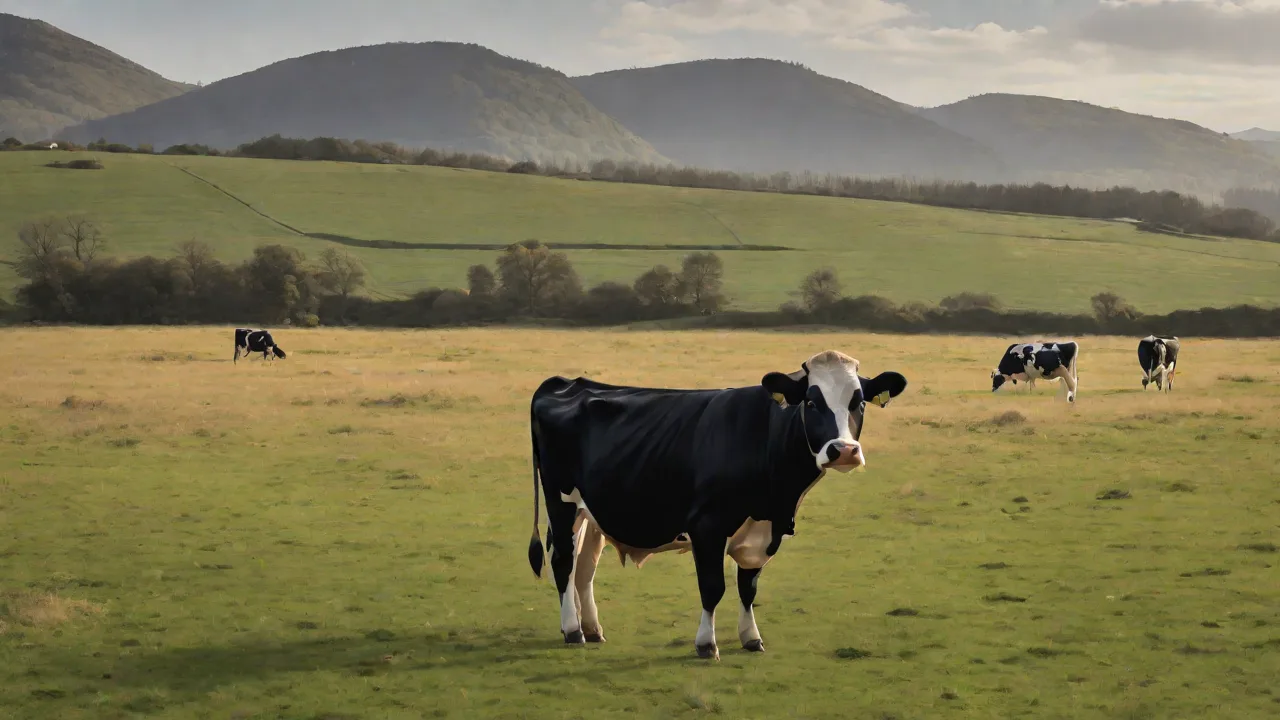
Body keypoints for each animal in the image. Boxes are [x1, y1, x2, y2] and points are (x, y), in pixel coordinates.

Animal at [526, 350, 908, 659]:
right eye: (812, 403)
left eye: (859, 403)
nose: (843, 450)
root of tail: (565, 383)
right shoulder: (706, 526)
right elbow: (713, 588)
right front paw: (706, 644)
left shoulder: (764, 532)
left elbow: (748, 587)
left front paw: (751, 638)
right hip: (561, 501)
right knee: (563, 560)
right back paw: (573, 630)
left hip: (592, 511)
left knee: (584, 567)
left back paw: (591, 629)